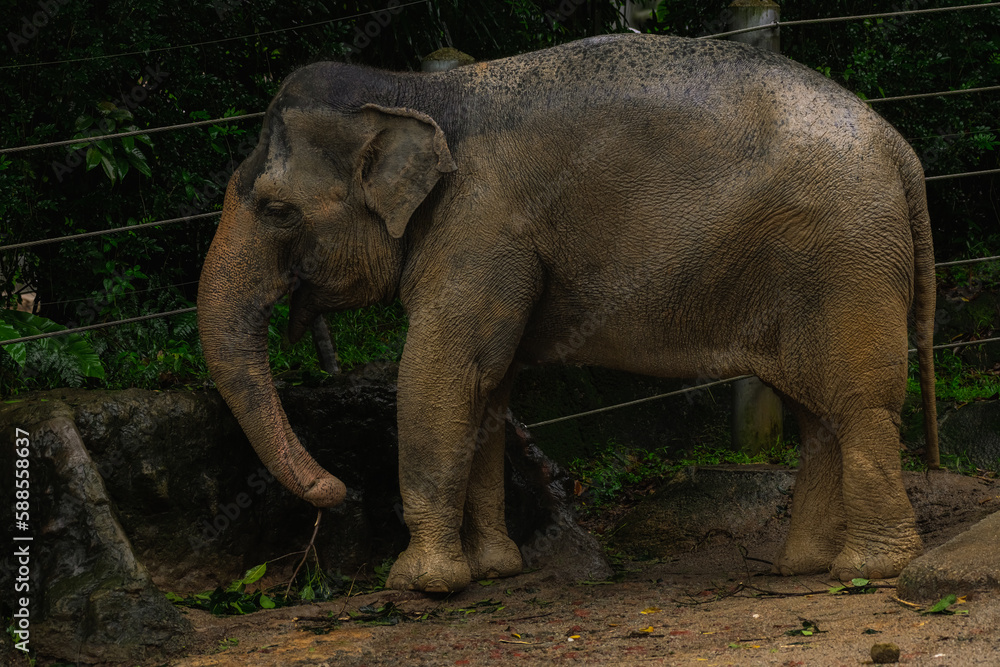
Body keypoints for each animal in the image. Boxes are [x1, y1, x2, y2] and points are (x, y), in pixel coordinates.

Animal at [198, 33, 939, 593]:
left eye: (276, 209)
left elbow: (439, 373)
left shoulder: (482, 229)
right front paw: (495, 569)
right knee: (815, 413)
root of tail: (897, 143)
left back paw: (869, 569)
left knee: (858, 403)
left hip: (844, 261)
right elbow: (488, 388)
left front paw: (420, 583)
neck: (416, 93)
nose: (337, 489)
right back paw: (801, 567)